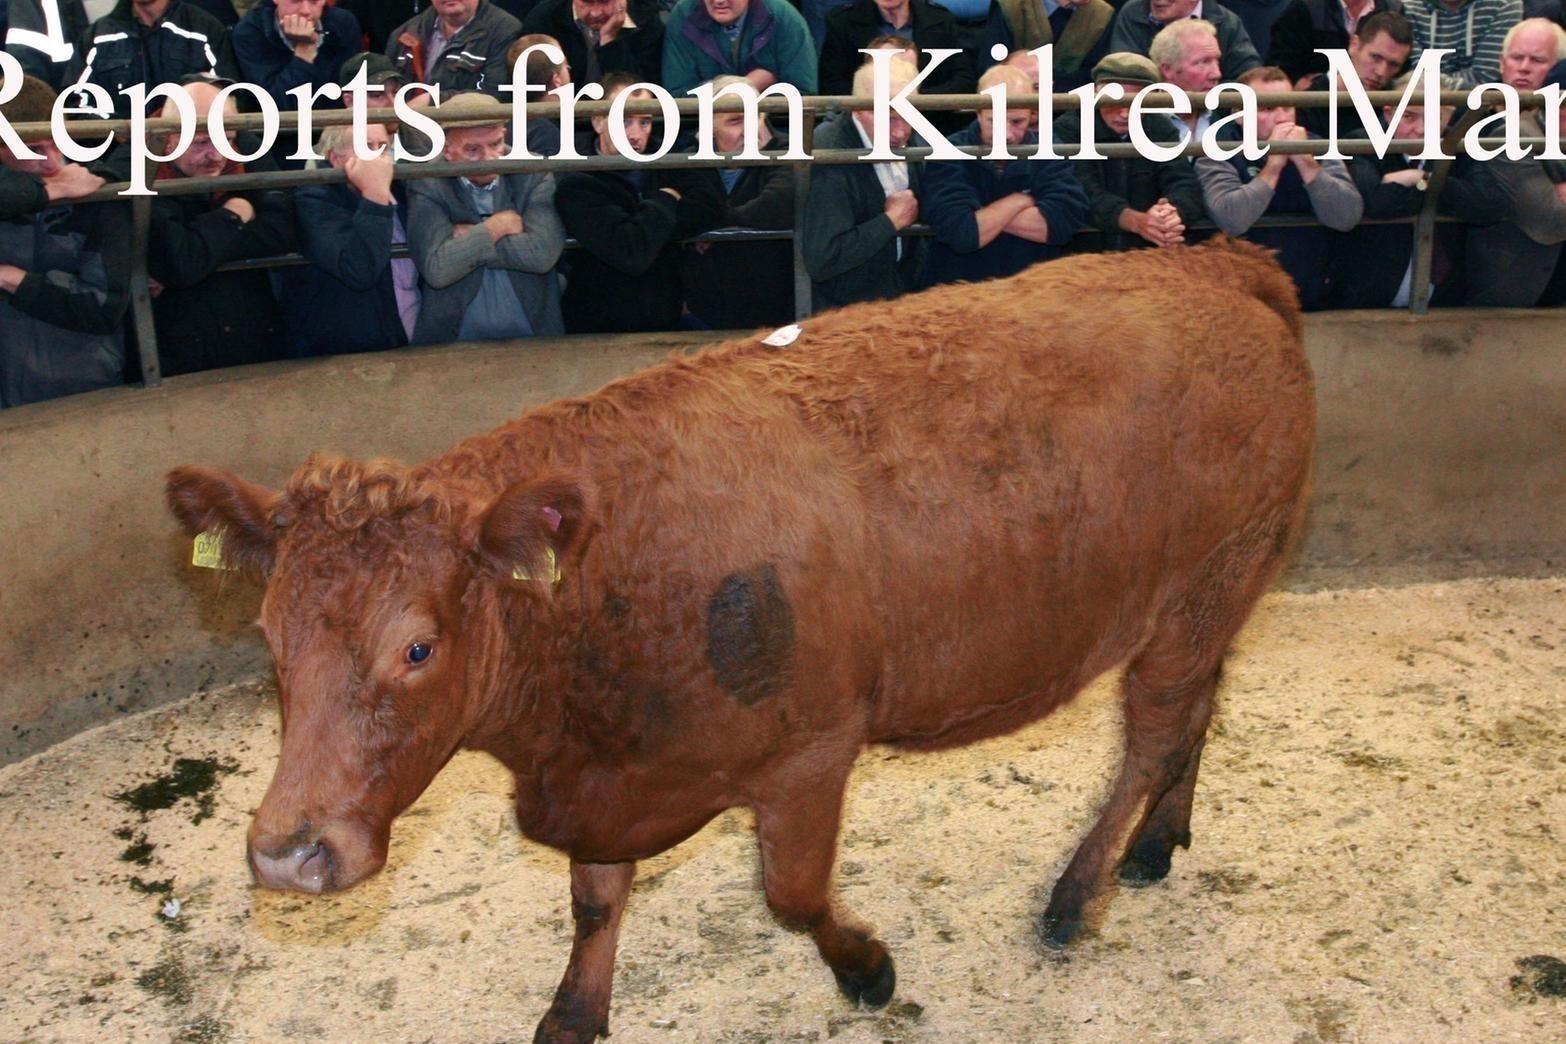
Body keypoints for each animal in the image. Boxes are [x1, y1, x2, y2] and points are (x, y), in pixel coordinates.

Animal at [166, 238, 1315, 1043]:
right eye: (267, 635)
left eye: (415, 648)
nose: (287, 855)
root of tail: (1219, 263)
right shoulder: (609, 773)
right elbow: (594, 902)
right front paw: (574, 1013)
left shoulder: (810, 753)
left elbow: (792, 896)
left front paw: (867, 968)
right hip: (1222, 591)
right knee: (1200, 710)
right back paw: (1159, 845)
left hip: (1198, 589)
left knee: (1152, 737)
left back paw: (1079, 894)